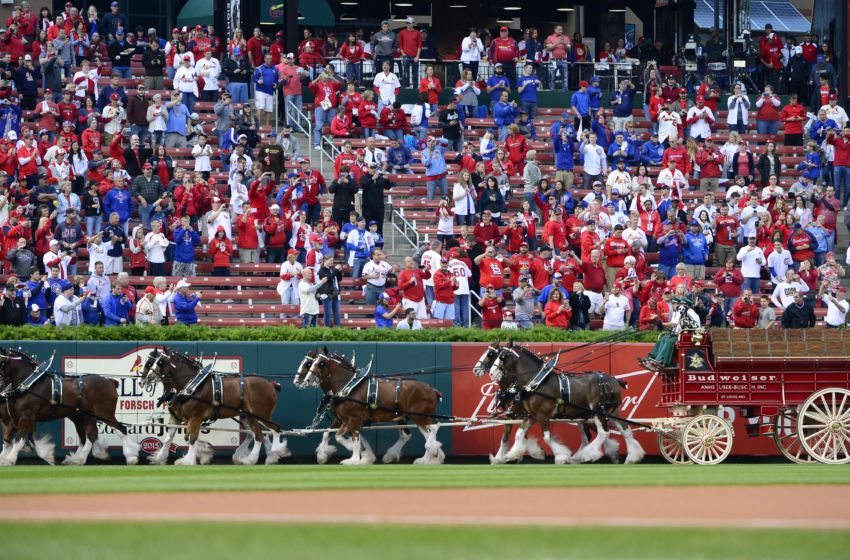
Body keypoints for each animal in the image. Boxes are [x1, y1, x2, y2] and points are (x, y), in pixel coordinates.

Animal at [0, 348, 139, 466]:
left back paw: (131, 457)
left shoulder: (26, 417)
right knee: (90, 436)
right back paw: (78, 459)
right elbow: (13, 439)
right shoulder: (18, 418)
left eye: (1, 363)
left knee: (120, 429)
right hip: (84, 416)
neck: (29, 384)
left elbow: (19, 439)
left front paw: (10, 459)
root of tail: (110, 382)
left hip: (104, 413)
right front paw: (46, 455)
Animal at [137, 348, 286, 466]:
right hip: (249, 416)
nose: (143, 380)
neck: (191, 385)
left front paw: (188, 460)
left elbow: (191, 437)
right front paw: (159, 458)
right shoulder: (177, 417)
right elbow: (171, 437)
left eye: (159, 362)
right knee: (259, 434)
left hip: (259, 415)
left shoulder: (195, 417)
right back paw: (264, 457)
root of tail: (270, 384)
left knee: (270, 431)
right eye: (150, 362)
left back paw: (263, 456)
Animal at [294, 350, 444, 464]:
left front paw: (354, 459)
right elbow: (331, 434)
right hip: (409, 418)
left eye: (318, 363)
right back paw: (426, 458)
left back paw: (432, 452)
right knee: (416, 435)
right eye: (310, 363)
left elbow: (351, 438)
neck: (348, 387)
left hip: (420, 417)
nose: (300, 380)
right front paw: (323, 455)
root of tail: (432, 390)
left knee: (434, 428)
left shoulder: (353, 419)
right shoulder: (343, 419)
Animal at [476, 342, 644, 464]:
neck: (535, 383)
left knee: (603, 433)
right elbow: (518, 435)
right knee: (624, 430)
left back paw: (586, 454)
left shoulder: (541, 415)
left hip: (598, 412)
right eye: (494, 355)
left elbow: (546, 437)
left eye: (500, 356)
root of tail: (613, 379)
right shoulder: (530, 415)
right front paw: (511, 455)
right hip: (609, 412)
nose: (490, 373)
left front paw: (560, 456)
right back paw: (632, 456)